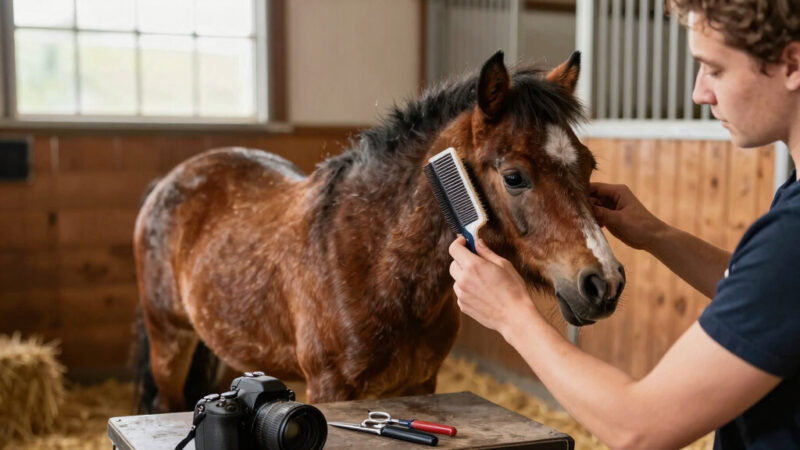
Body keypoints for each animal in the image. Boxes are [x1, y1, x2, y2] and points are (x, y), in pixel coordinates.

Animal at [134, 50, 626, 413]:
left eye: (588, 165)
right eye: (514, 177)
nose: (604, 283)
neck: (377, 264)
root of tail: (168, 182)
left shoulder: (421, 384)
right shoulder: (329, 389)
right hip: (169, 343)